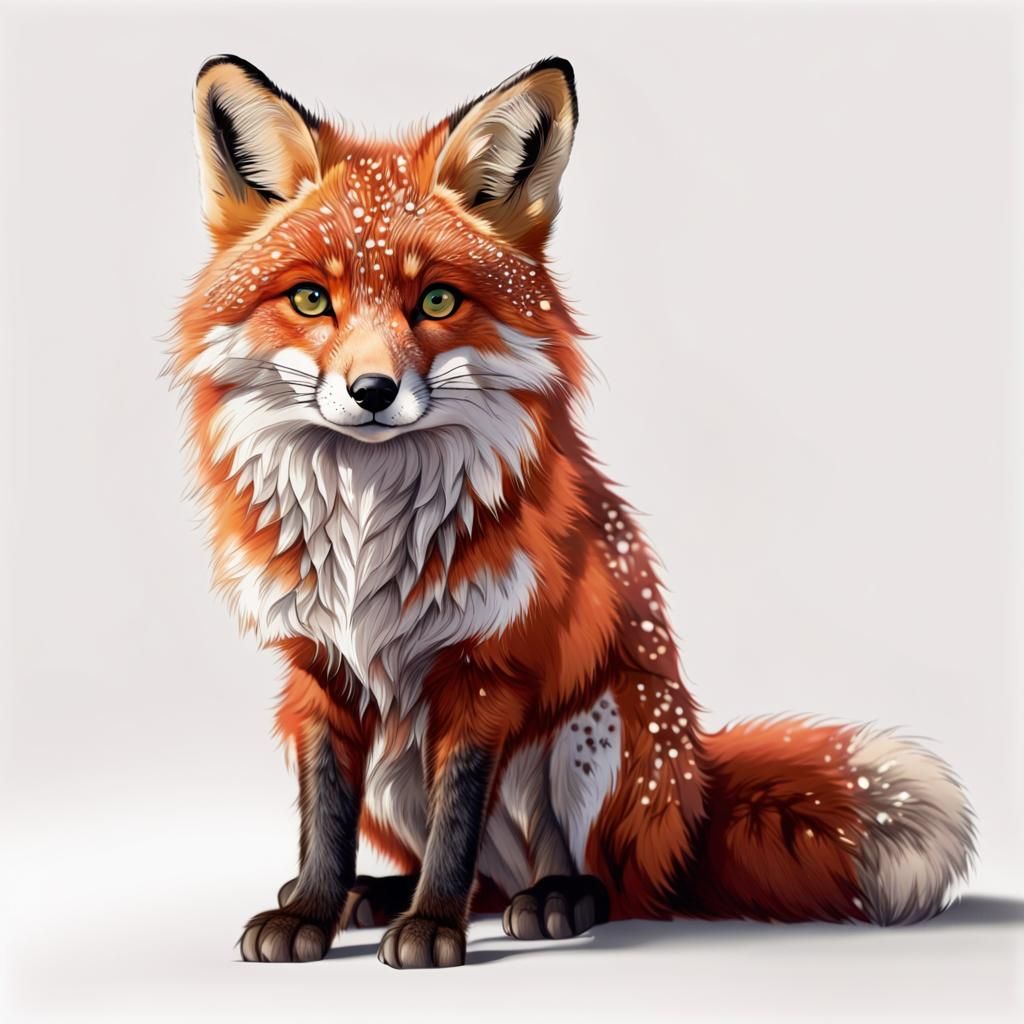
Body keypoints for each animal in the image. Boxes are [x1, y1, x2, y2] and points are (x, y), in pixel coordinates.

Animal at [169, 55, 975, 969]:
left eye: (437, 302)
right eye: (310, 300)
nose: (371, 391)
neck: (369, 529)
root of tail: (698, 796)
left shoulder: (485, 668)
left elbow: (457, 818)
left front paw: (433, 928)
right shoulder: (318, 671)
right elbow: (325, 815)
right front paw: (314, 908)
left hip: (597, 732)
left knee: (609, 883)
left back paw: (556, 900)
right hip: (398, 766)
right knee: (485, 876)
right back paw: (377, 895)